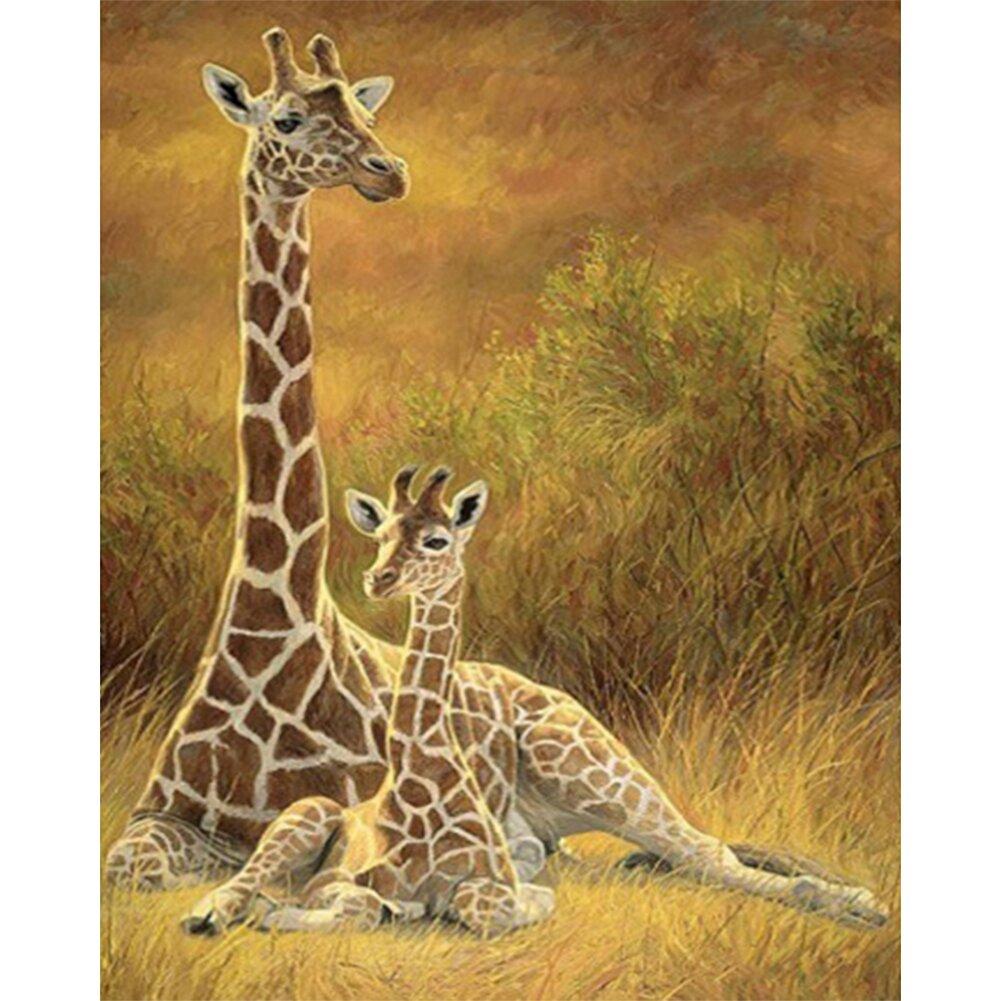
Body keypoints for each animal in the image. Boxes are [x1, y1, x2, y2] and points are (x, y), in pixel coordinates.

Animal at [181, 468, 554, 937]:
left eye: (437, 540)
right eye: (381, 536)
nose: (378, 579)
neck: (421, 782)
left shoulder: (500, 880)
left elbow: (501, 905)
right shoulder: (332, 880)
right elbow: (362, 904)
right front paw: (276, 913)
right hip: (309, 812)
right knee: (244, 880)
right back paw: (212, 912)